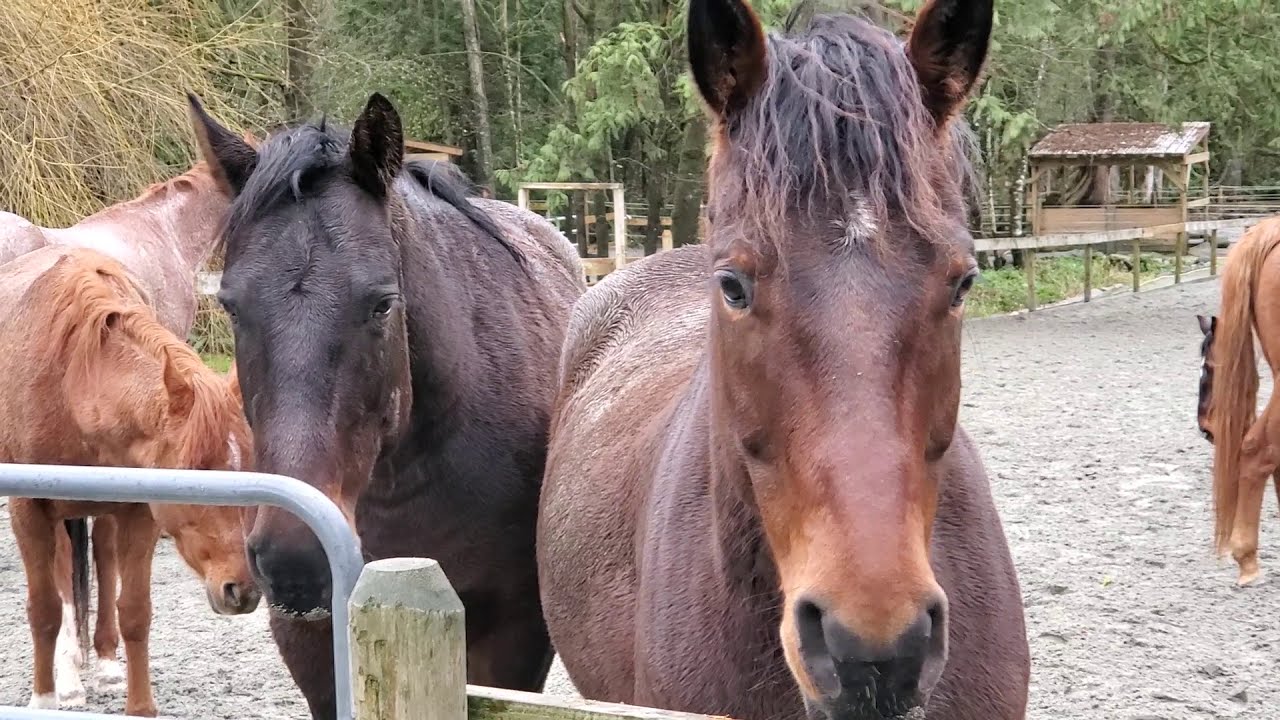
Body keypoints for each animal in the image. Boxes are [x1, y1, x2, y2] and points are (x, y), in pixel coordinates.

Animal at [0, 246, 260, 716]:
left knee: (102, 560)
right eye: (194, 479)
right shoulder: (28, 509)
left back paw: (103, 664)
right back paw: (69, 676)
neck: (75, 385)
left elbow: (135, 611)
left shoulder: (140, 512)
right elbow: (44, 609)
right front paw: (44, 697)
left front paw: (140, 706)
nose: (242, 589)